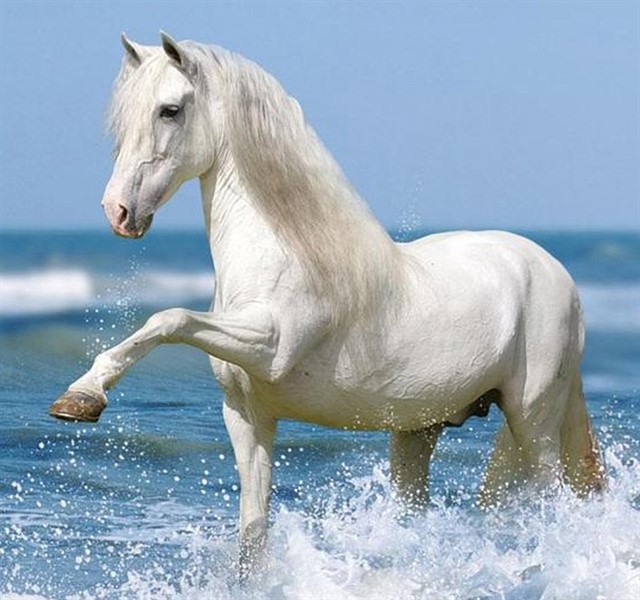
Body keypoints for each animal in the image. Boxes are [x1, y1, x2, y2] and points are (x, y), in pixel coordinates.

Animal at [50, 33, 605, 577]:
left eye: (170, 110)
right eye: (123, 117)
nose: (118, 211)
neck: (283, 249)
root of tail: (557, 275)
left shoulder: (269, 345)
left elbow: (170, 318)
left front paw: (83, 397)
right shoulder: (246, 415)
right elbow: (254, 531)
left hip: (532, 420)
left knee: (553, 504)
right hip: (418, 430)